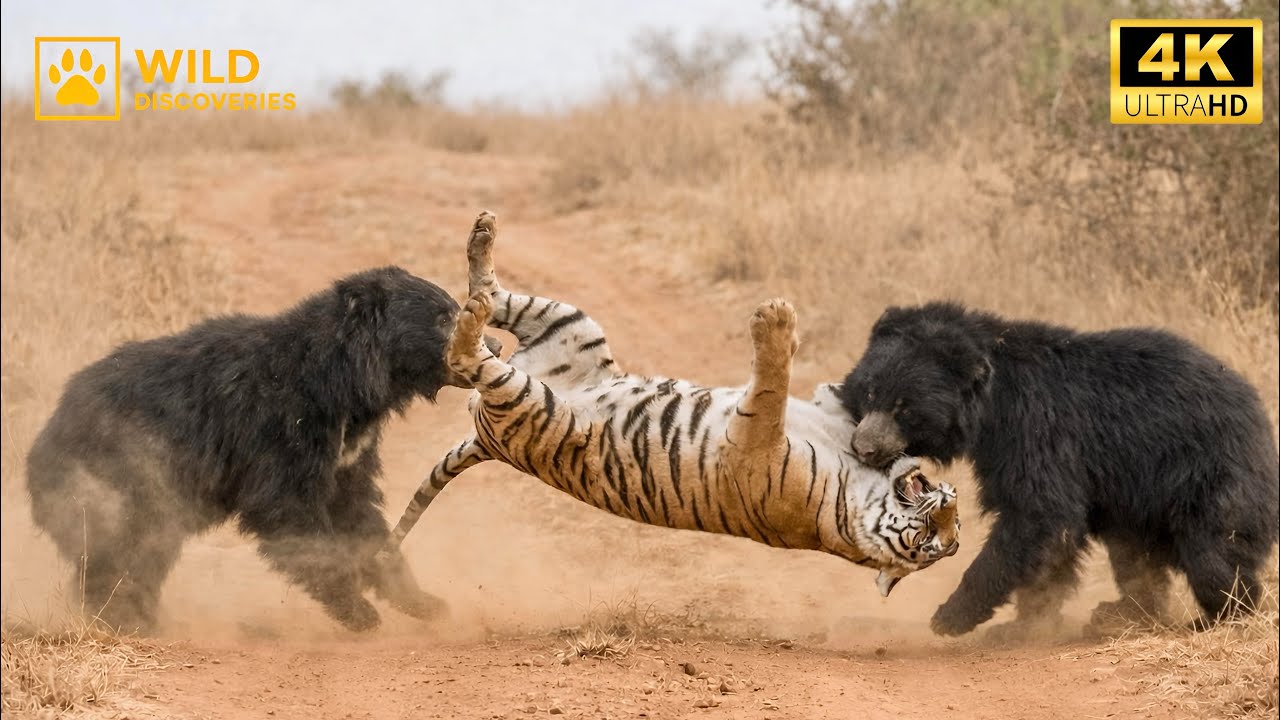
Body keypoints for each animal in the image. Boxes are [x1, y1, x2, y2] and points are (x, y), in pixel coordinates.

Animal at [382, 212, 960, 598]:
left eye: (932, 542)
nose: (951, 500)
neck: (857, 484)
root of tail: (487, 438)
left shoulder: (752, 439)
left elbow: (770, 387)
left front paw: (775, 321)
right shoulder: (822, 412)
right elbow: (830, 390)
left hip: (529, 398)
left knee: (467, 358)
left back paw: (468, 317)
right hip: (573, 323)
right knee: (492, 292)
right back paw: (481, 238)